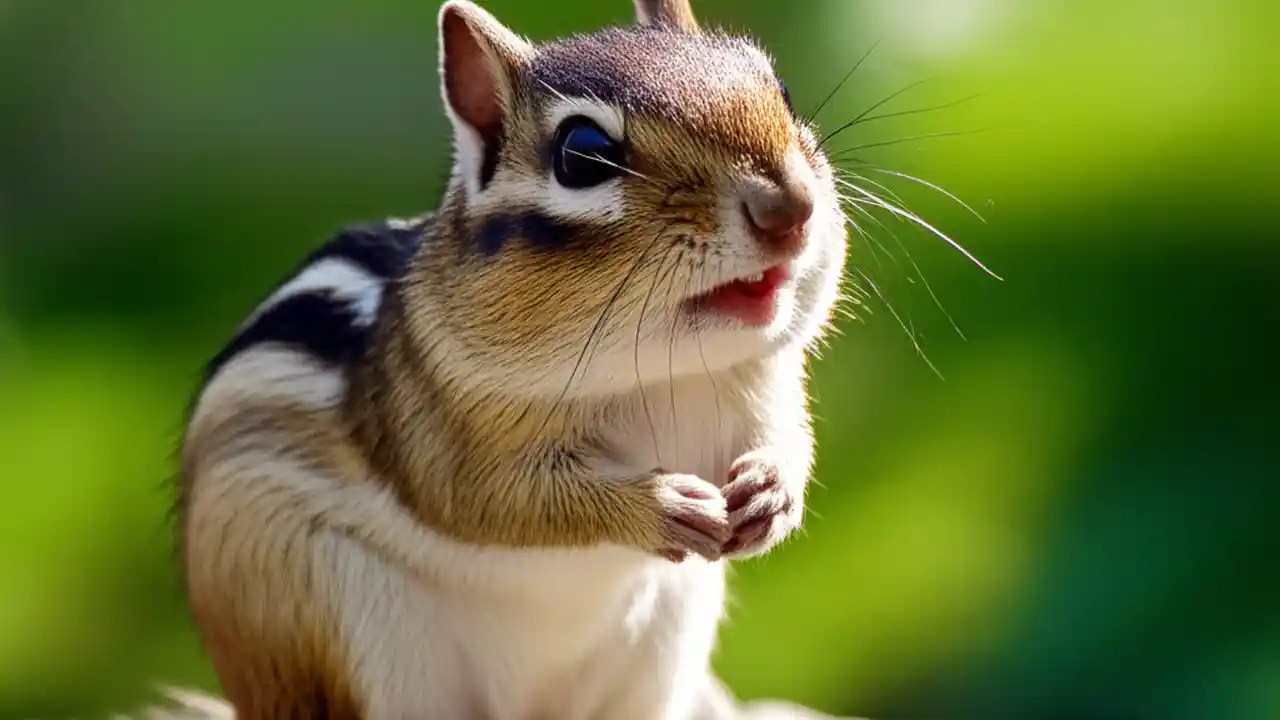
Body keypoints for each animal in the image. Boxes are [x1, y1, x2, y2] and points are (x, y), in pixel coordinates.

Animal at [148, 0, 851, 718]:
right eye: (583, 153)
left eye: (781, 90)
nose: (789, 209)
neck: (664, 375)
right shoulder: (435, 425)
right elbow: (496, 499)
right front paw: (656, 505)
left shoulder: (770, 388)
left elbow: (789, 438)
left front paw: (774, 490)